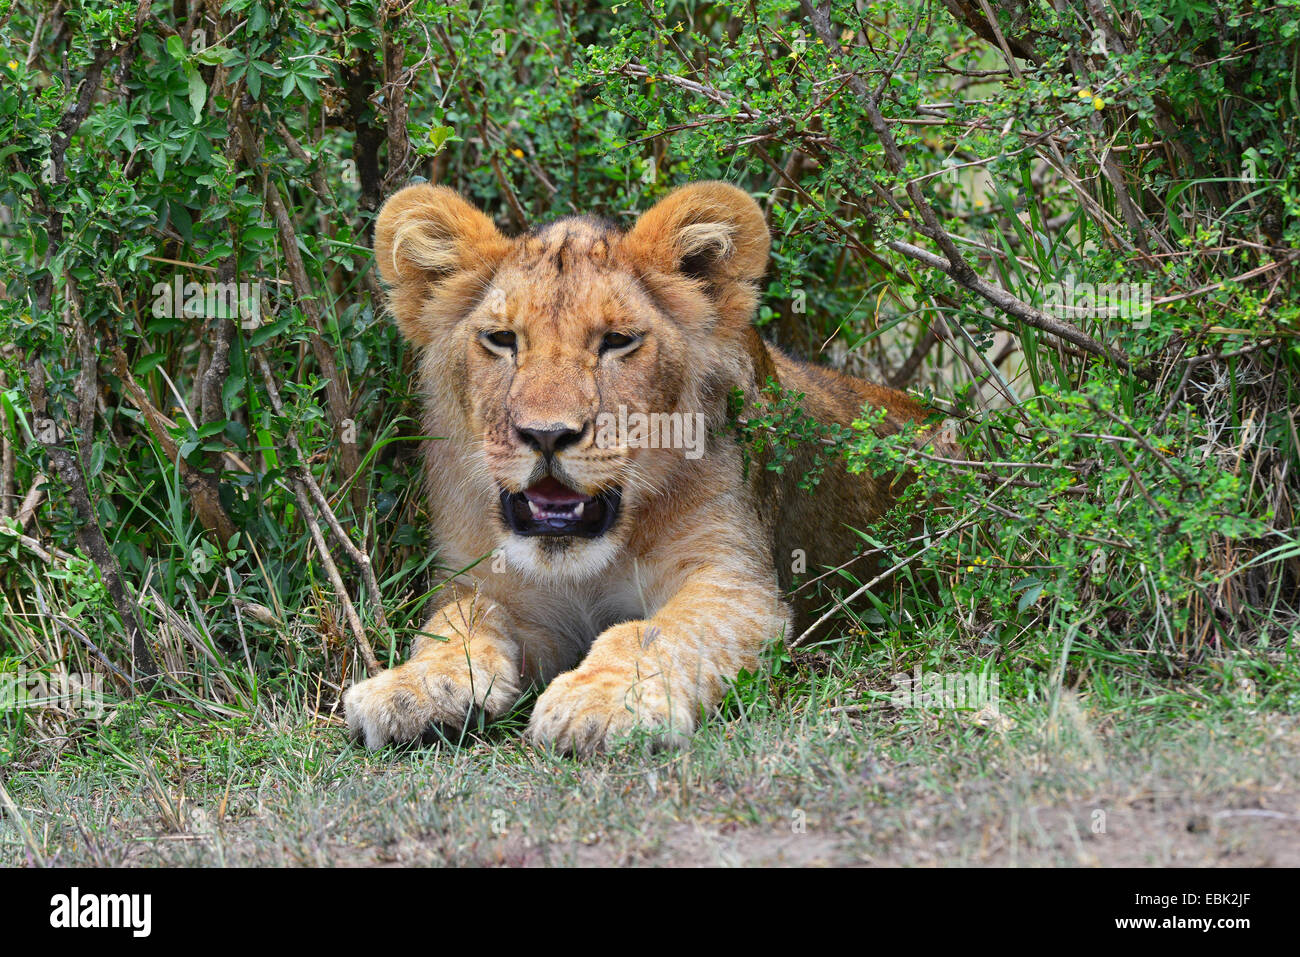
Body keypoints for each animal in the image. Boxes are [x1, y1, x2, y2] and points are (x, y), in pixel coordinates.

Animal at [344, 181, 936, 755]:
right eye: (502, 339)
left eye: (617, 341)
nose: (546, 434)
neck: (584, 567)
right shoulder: (491, 585)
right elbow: (456, 626)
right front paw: (413, 687)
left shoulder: (733, 579)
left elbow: (652, 633)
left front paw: (601, 703)